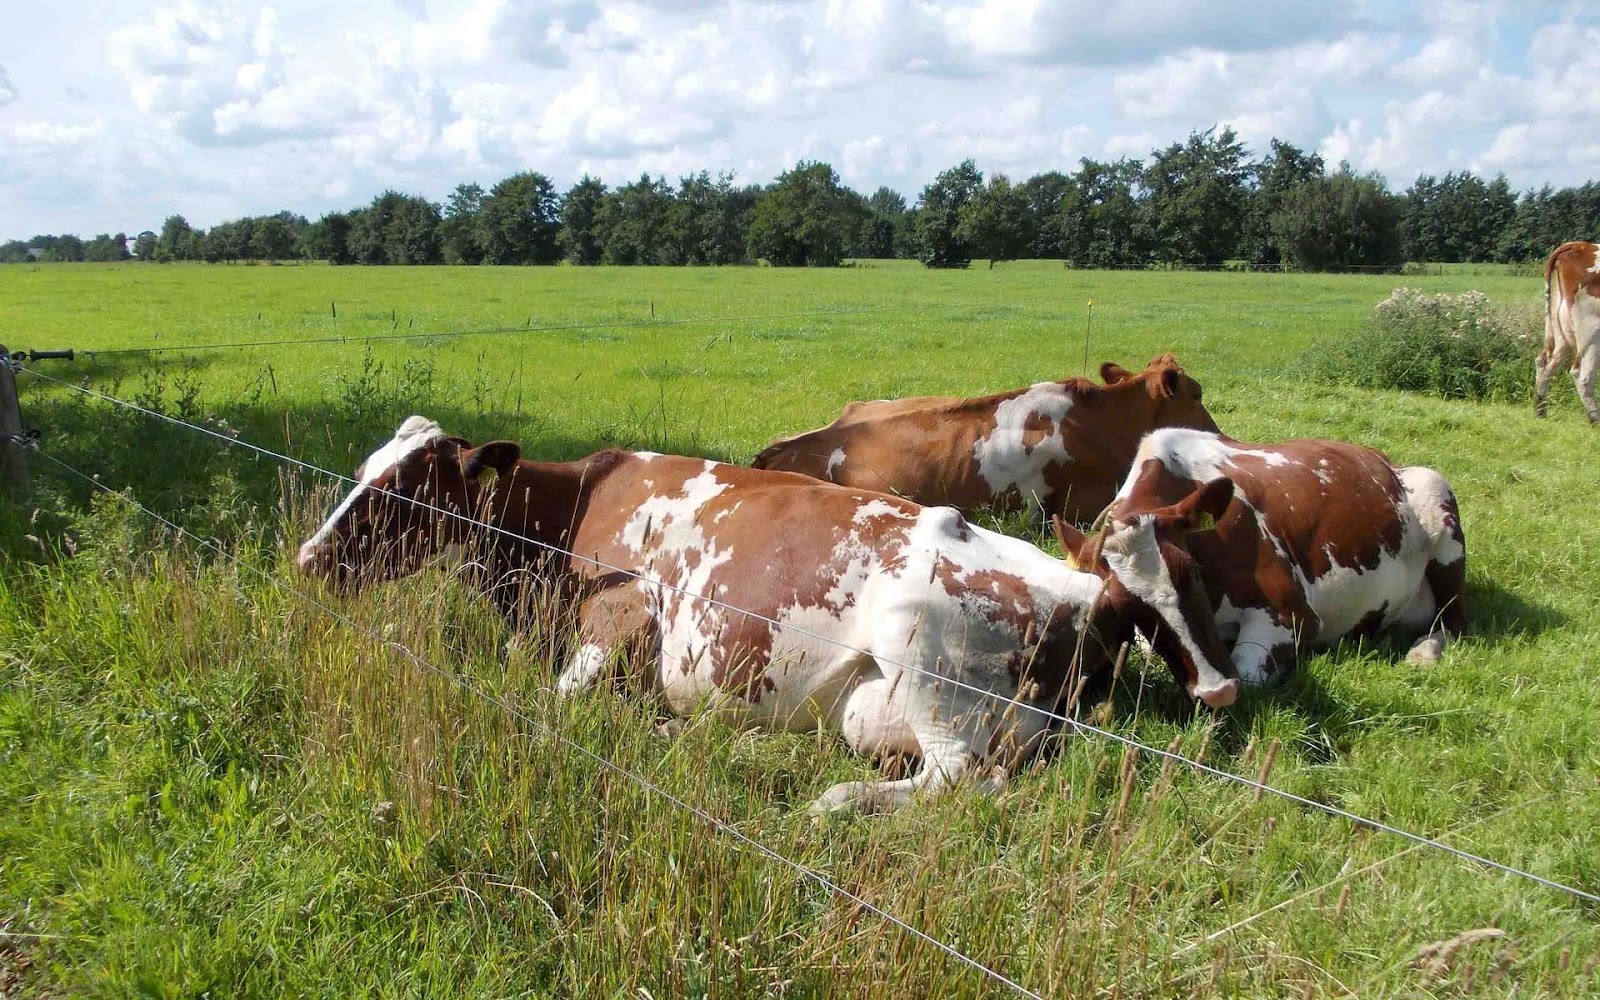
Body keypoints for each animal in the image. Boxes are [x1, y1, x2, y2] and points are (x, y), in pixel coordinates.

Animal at [296, 416, 1239, 814]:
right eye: (364, 468)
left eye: (404, 490)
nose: (307, 559)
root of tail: (1085, 592)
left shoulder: (628, 607)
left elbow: (550, 705)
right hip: (873, 709)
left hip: (921, 653)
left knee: (966, 781)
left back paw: (832, 800)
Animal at [1054, 429, 1467, 685]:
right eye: (1125, 607)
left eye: (1194, 573)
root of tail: (1382, 458)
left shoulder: (1295, 613)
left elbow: (1248, 673)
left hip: (1439, 500)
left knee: (1453, 622)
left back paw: (1424, 651)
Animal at [1537, 240, 1600, 423]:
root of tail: (1581, 245)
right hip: (1592, 333)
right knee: (1582, 374)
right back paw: (1595, 419)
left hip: (1560, 331)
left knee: (1545, 362)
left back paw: (1540, 412)